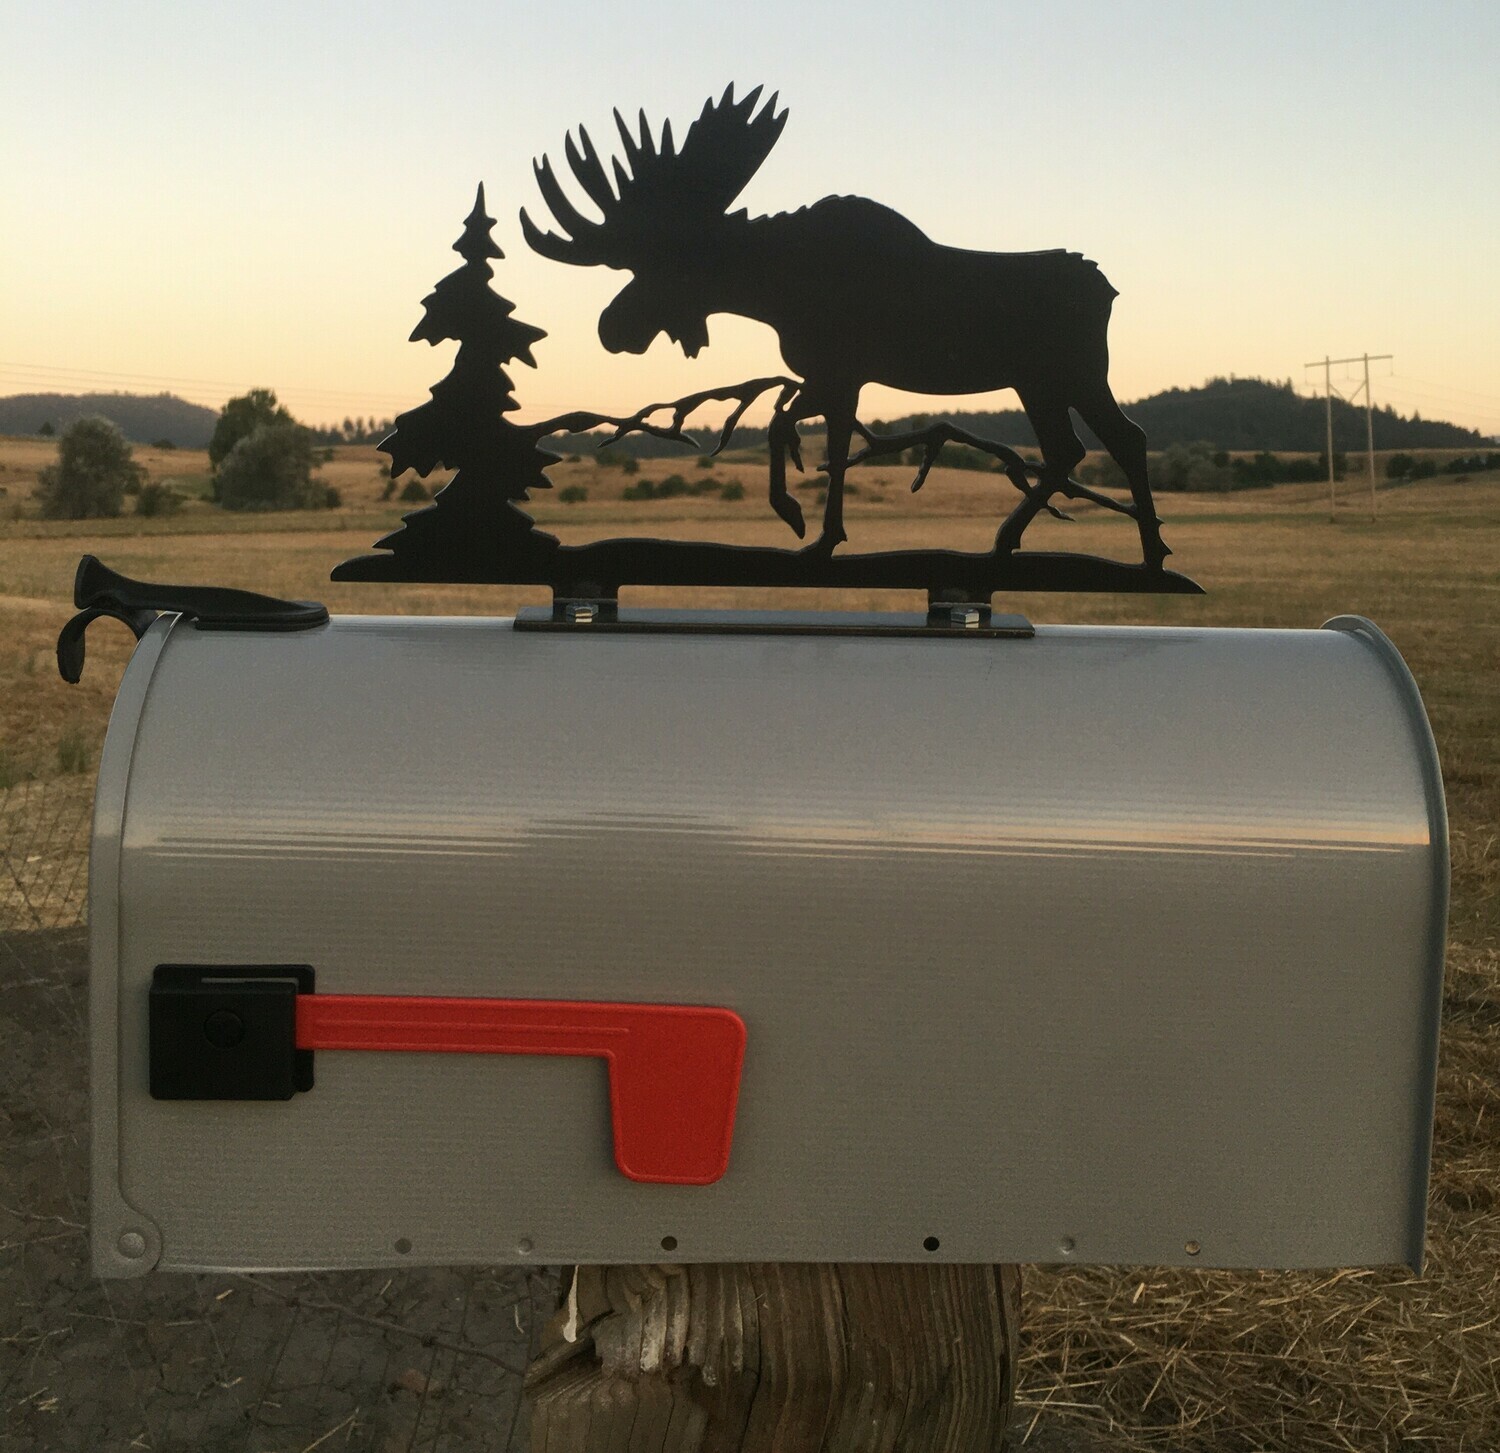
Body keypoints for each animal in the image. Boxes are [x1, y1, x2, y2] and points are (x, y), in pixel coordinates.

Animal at [521, 85, 1171, 569]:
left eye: (672, 265)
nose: (610, 328)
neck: (775, 293)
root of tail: (1107, 290)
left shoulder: (841, 371)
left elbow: (812, 440)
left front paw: (811, 528)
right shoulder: (828, 375)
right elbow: (789, 426)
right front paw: (804, 521)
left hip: (1062, 373)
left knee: (1099, 443)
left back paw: (1070, 545)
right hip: (1048, 380)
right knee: (1099, 442)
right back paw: (1132, 549)